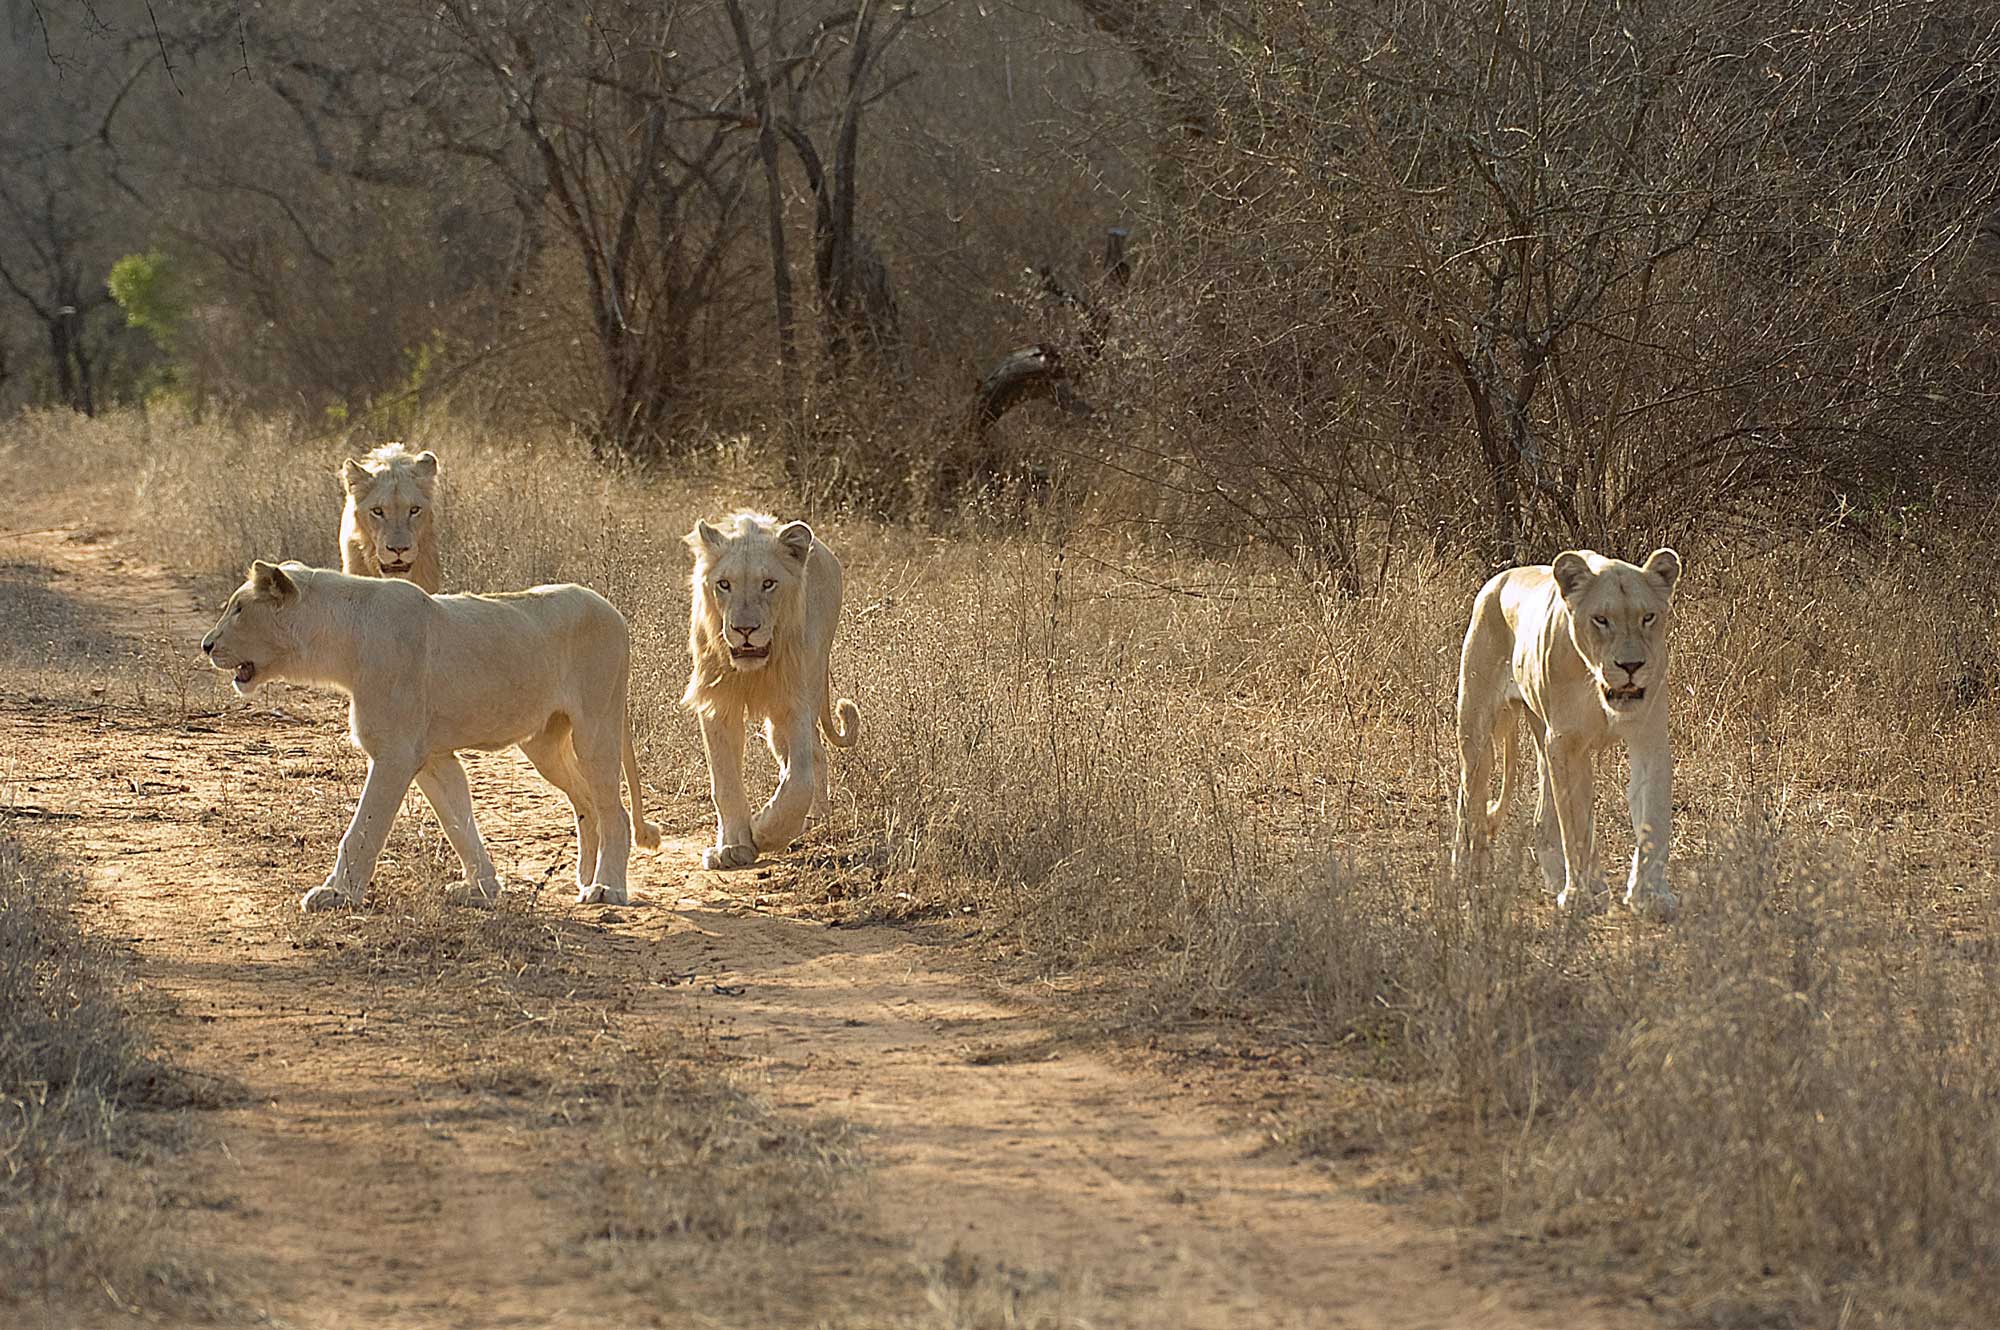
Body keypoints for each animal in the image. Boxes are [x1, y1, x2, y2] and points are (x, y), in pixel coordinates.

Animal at [200, 560, 660, 912]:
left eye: (238, 609)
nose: (206, 645)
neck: (339, 641)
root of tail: (612, 610)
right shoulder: (432, 757)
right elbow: (458, 821)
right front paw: (481, 888)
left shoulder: (396, 754)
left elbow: (364, 829)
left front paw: (336, 894)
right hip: (543, 744)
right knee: (586, 802)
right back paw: (585, 877)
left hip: (597, 724)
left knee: (615, 811)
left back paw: (607, 888)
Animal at [682, 511, 860, 871]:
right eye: (724, 584)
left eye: (768, 583)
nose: (744, 630)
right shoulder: (717, 703)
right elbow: (725, 783)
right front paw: (732, 848)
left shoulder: (794, 704)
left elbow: (799, 781)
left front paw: (764, 833)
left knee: (815, 756)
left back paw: (816, 819)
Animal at [1453, 548, 1683, 917]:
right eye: (1601, 619)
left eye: (1648, 617)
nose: (1631, 666)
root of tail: (1498, 580)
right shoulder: (1567, 741)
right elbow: (1575, 823)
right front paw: (1581, 895)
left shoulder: (1649, 738)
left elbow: (1654, 818)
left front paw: (1650, 895)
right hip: (1476, 728)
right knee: (1469, 801)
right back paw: (1469, 876)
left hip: (1541, 737)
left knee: (1541, 815)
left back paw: (1556, 877)